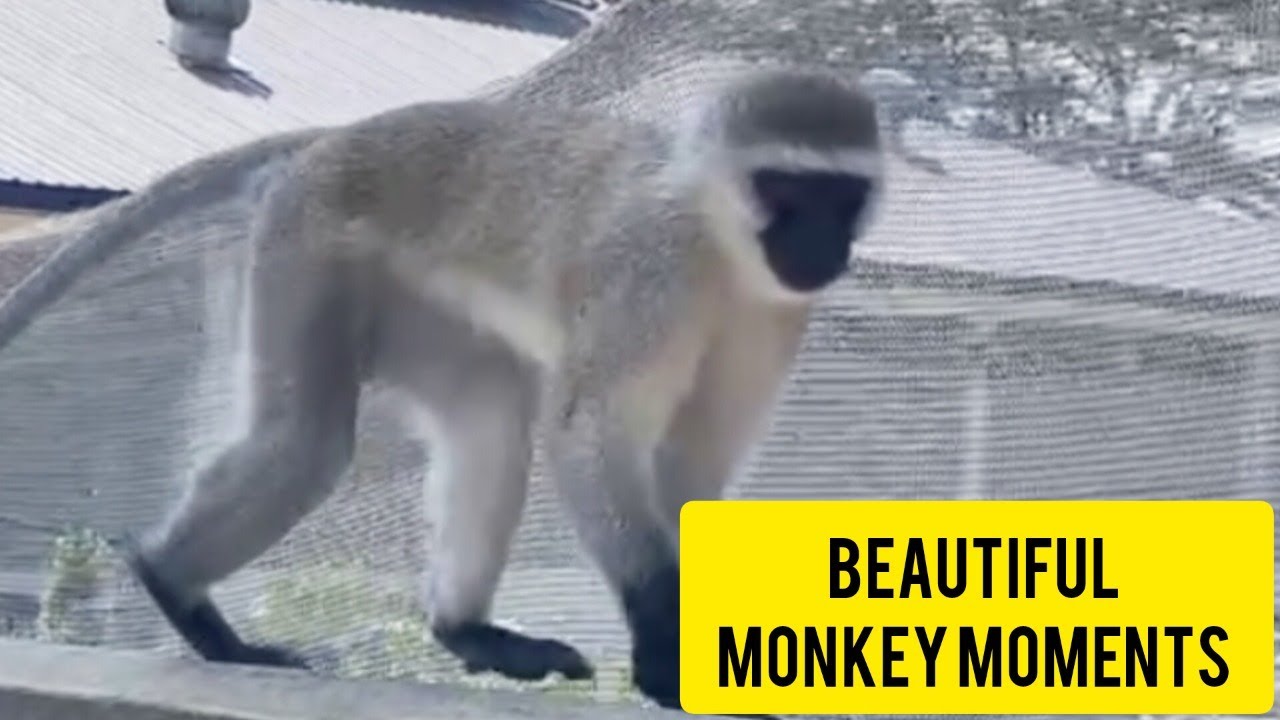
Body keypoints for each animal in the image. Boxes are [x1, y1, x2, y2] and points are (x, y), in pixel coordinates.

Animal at [0, 66, 882, 710]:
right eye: (785, 190)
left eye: (843, 196)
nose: (822, 243)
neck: (717, 242)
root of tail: (342, 137)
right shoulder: (646, 277)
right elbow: (589, 431)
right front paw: (668, 656)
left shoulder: (772, 315)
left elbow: (690, 465)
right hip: (307, 249)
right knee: (307, 442)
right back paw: (176, 587)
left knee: (487, 411)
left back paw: (465, 631)